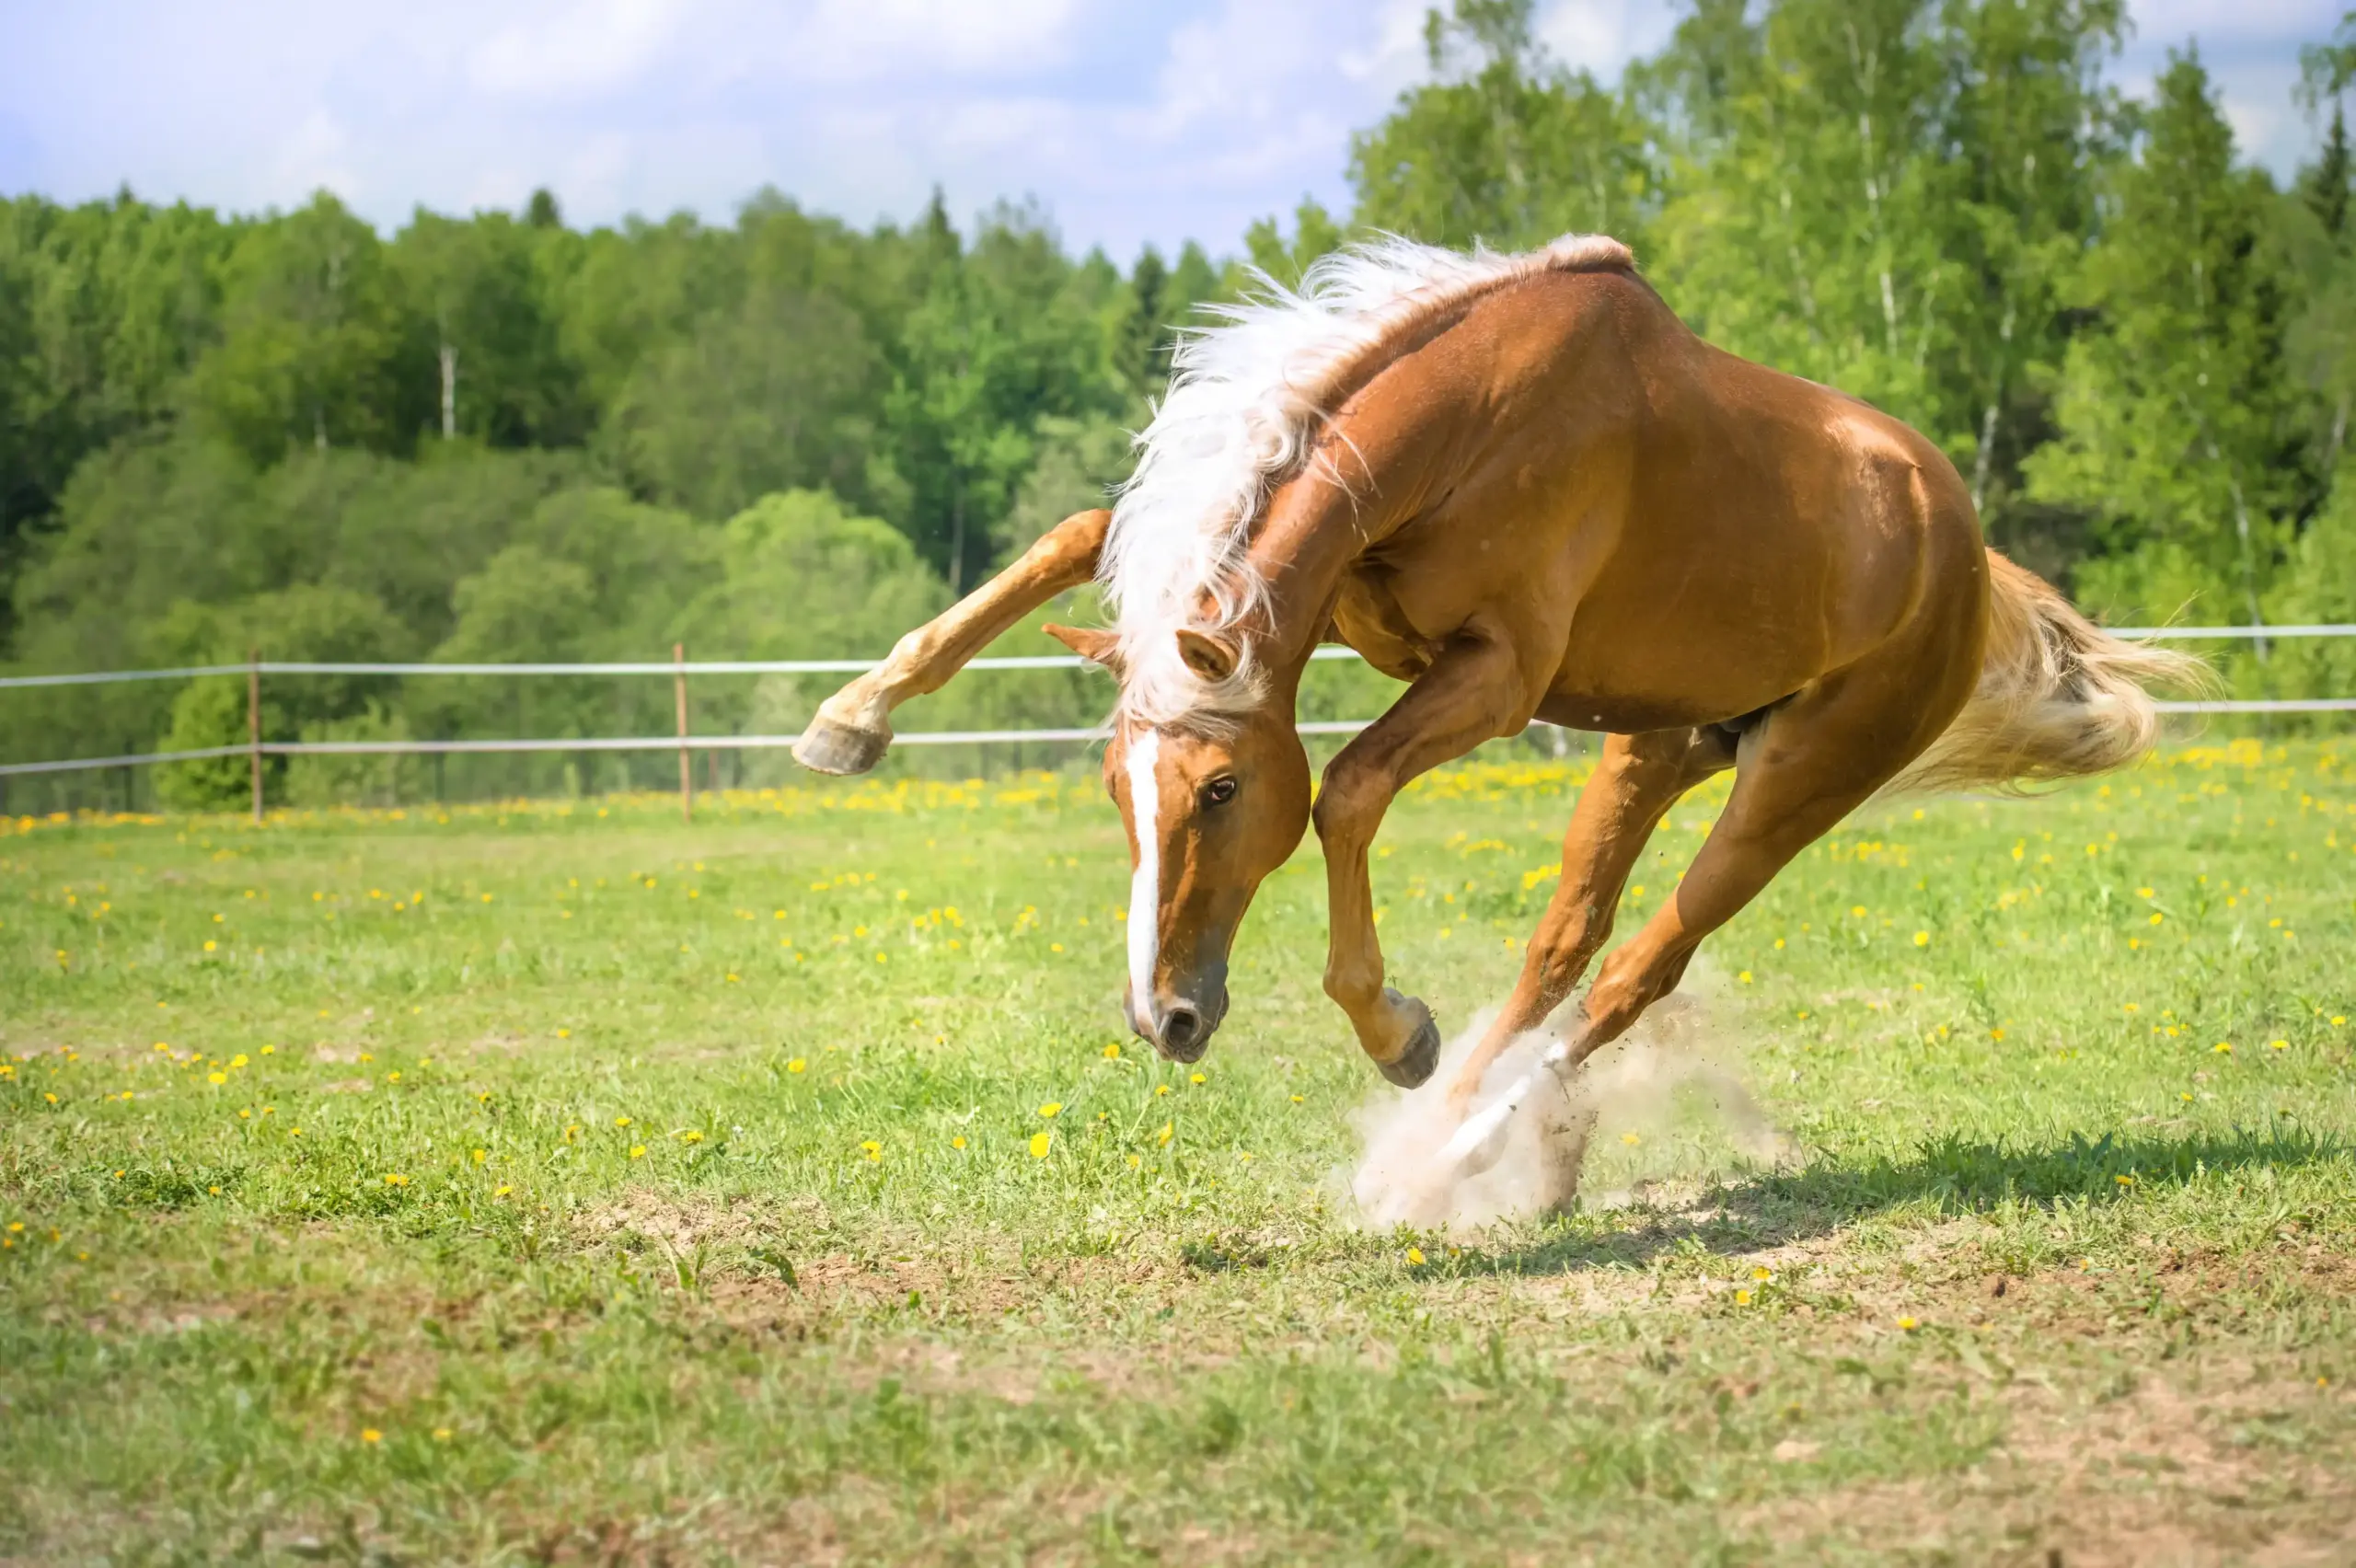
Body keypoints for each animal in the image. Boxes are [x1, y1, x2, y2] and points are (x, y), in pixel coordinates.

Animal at [792, 234, 2198, 1203]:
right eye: (1114, 794)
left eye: (1221, 791)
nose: (1164, 1020)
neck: (1477, 418)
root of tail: (1960, 549)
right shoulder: (1331, 607)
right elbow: (1081, 531)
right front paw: (848, 720)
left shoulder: (1497, 675)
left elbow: (1349, 790)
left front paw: (1395, 1032)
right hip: (1660, 741)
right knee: (1569, 939)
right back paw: (1499, 1143)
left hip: (1801, 779)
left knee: (1644, 962)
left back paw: (1438, 1153)